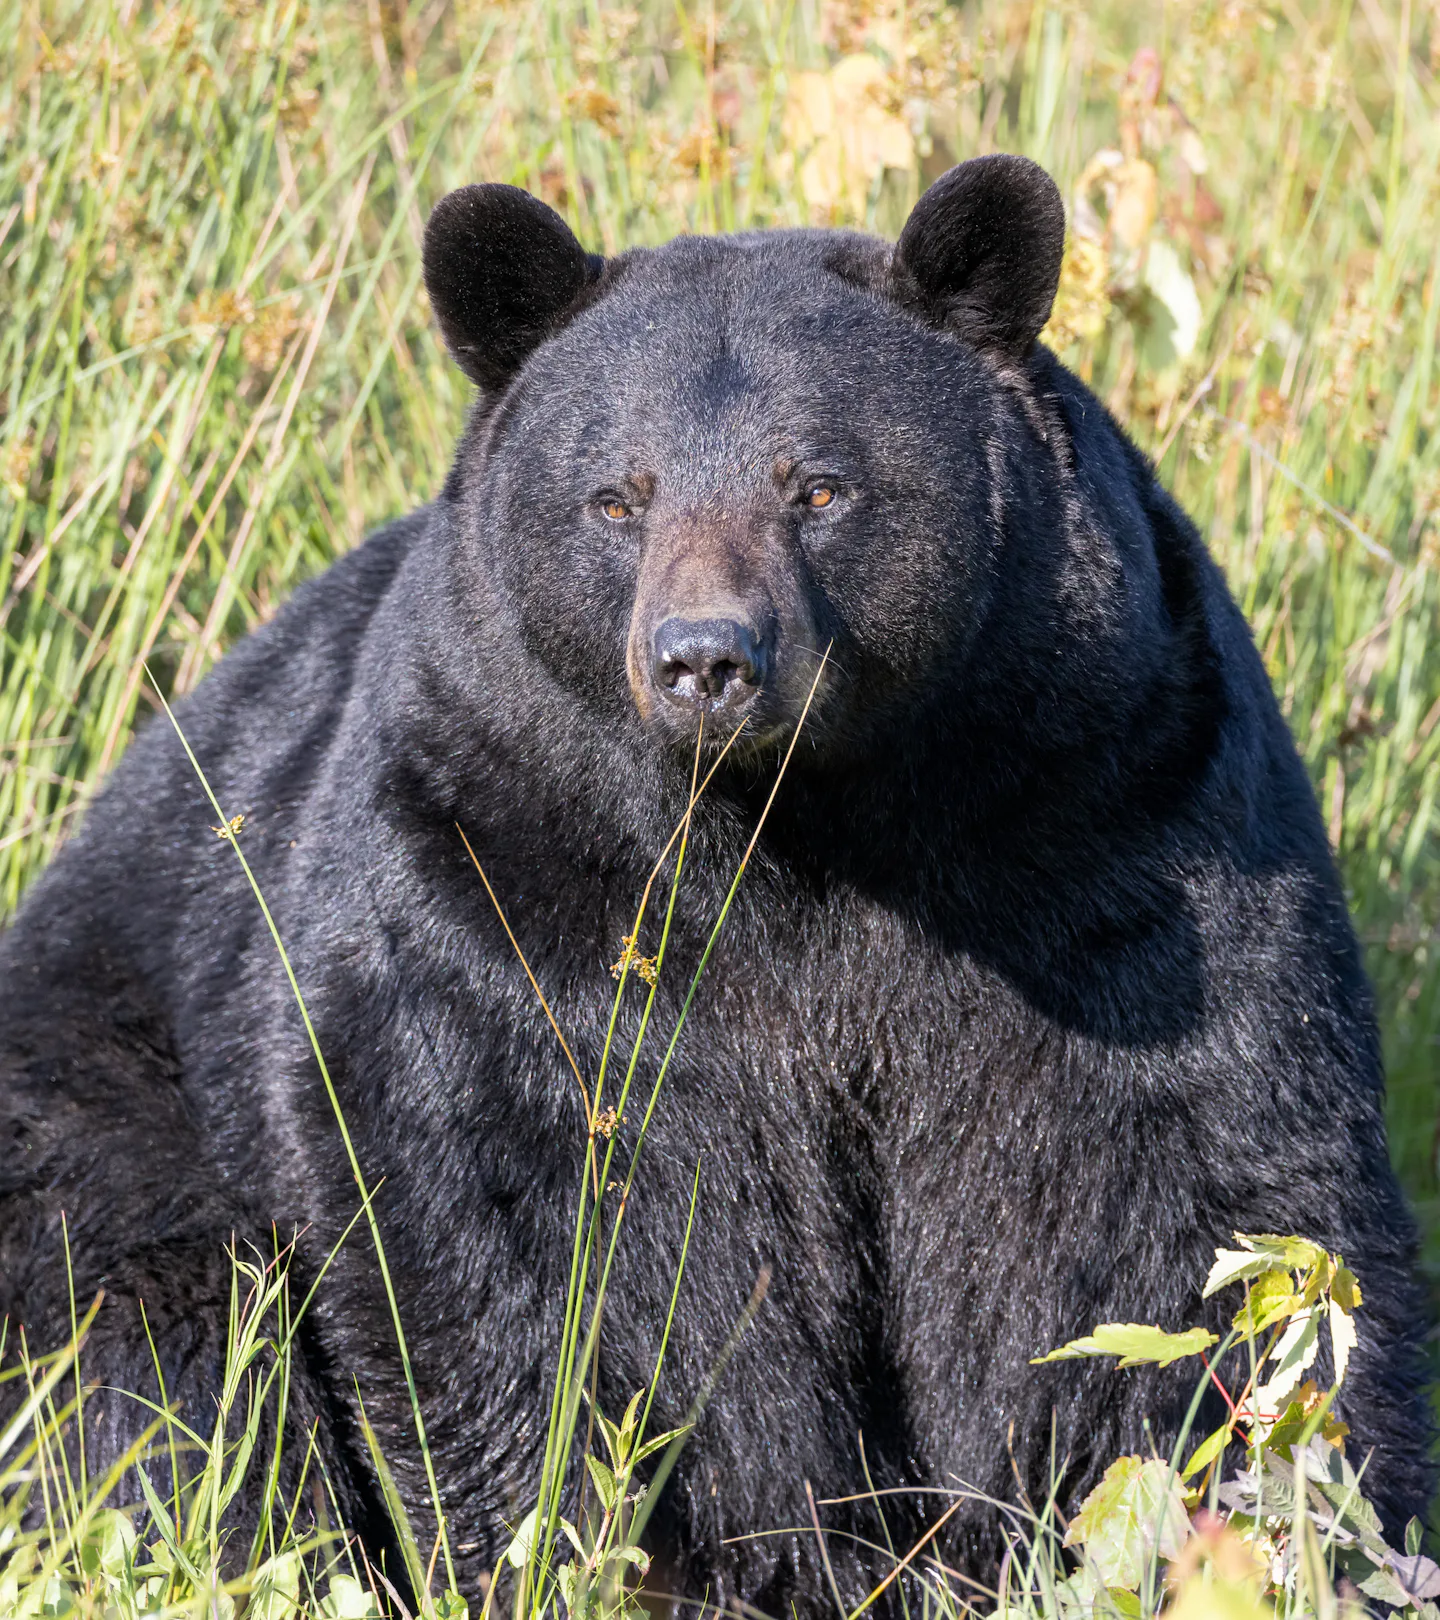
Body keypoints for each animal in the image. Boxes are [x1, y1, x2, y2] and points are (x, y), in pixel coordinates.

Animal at [0, 154, 1432, 1614]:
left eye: (821, 488)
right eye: (616, 497)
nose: (706, 659)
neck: (804, 835)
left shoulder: (1108, 830)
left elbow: (1180, 1202)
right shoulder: (505, 887)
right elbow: (540, 1248)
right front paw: (642, 1553)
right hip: (99, 1122)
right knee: (159, 1362)